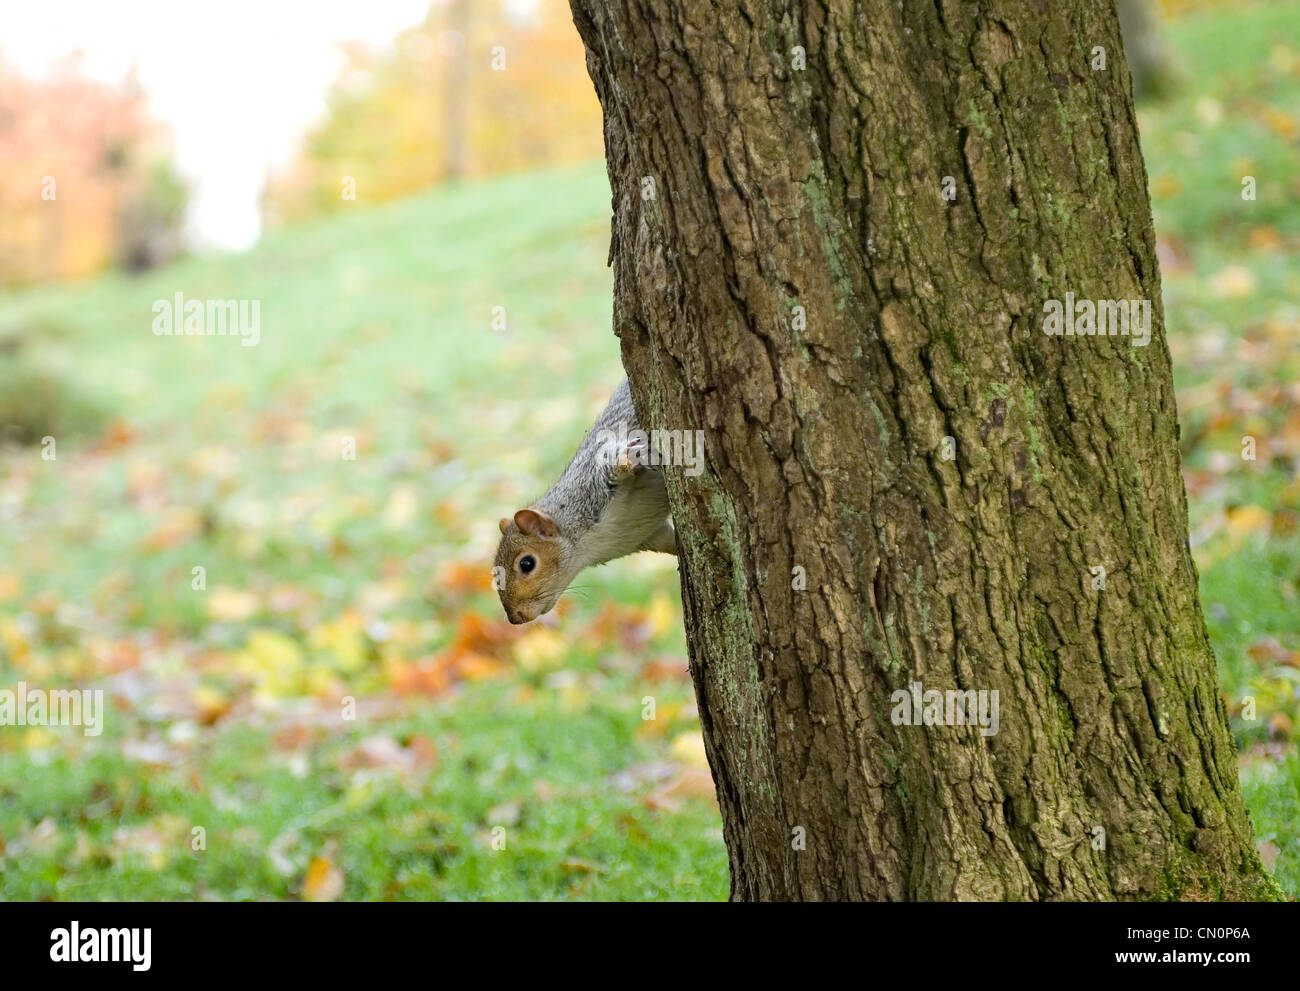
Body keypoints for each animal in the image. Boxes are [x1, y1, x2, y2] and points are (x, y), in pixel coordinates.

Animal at [494, 378, 677, 624]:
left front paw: (627, 459)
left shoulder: (592, 484)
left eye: (526, 563)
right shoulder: (647, 536)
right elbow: (669, 541)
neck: (590, 546)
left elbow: (613, 465)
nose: (516, 618)